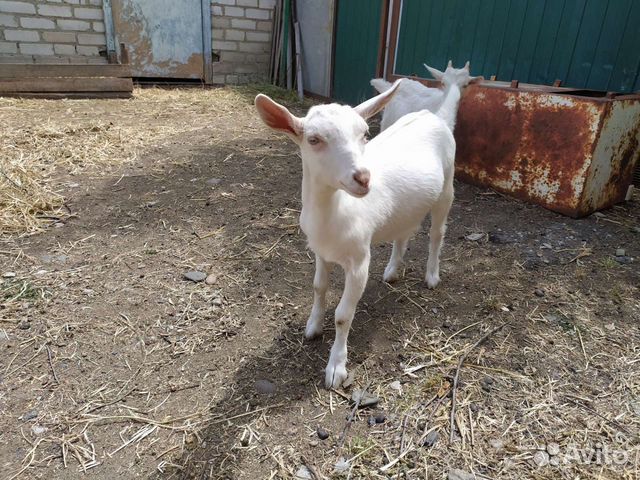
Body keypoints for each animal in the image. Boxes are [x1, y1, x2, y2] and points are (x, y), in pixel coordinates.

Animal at [254, 80, 456, 388]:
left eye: (365, 134)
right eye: (314, 139)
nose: (363, 178)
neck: (334, 215)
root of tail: (434, 115)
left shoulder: (360, 260)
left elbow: (343, 315)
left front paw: (336, 367)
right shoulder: (320, 251)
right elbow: (318, 287)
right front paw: (312, 326)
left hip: (447, 186)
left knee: (437, 233)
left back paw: (432, 276)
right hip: (409, 204)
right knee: (404, 231)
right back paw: (393, 271)